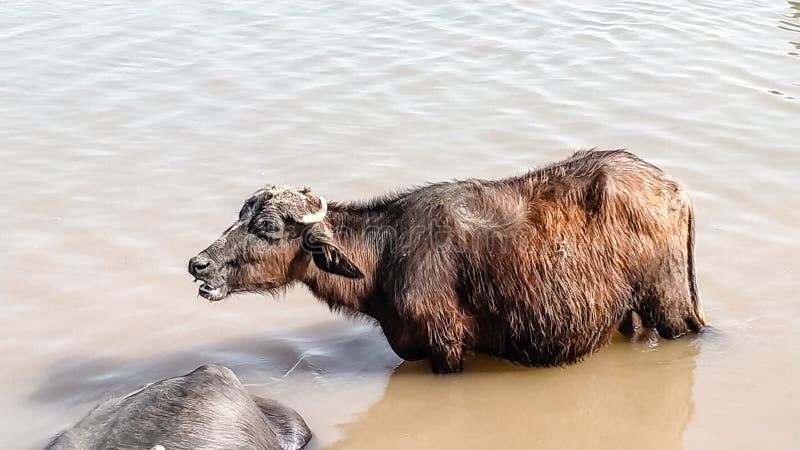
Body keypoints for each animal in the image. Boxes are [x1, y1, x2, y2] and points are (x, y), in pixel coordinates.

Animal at [189, 150, 706, 373]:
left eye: (267, 227)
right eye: (240, 216)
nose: (199, 265)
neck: (385, 256)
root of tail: (675, 189)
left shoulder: (447, 347)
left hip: (672, 306)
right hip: (631, 313)